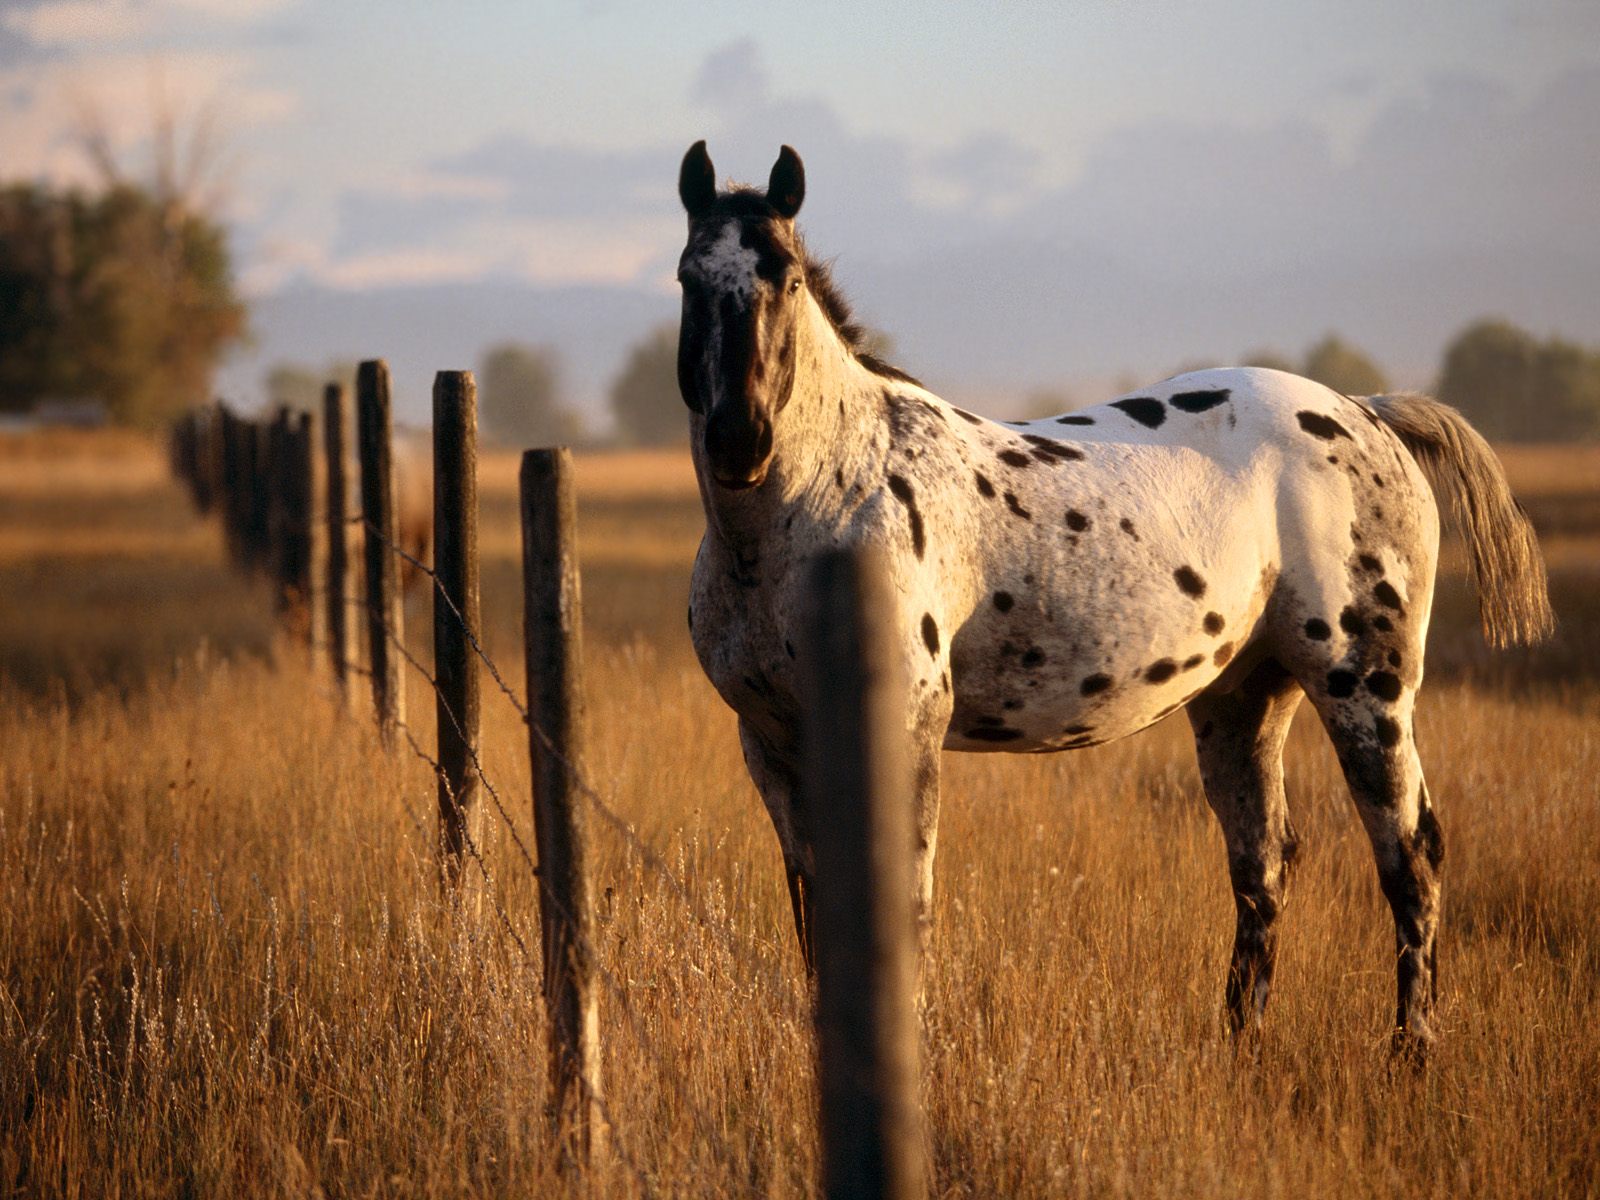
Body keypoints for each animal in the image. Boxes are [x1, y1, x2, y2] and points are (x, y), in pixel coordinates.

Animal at [674, 140, 1553, 1055]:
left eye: (787, 280)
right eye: (688, 279)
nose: (740, 440)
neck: (829, 498)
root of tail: (1371, 412)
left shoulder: (905, 728)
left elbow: (903, 903)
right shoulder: (772, 742)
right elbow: (813, 911)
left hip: (1366, 689)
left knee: (1411, 855)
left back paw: (1411, 1051)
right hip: (1245, 696)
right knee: (1264, 863)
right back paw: (1241, 1044)